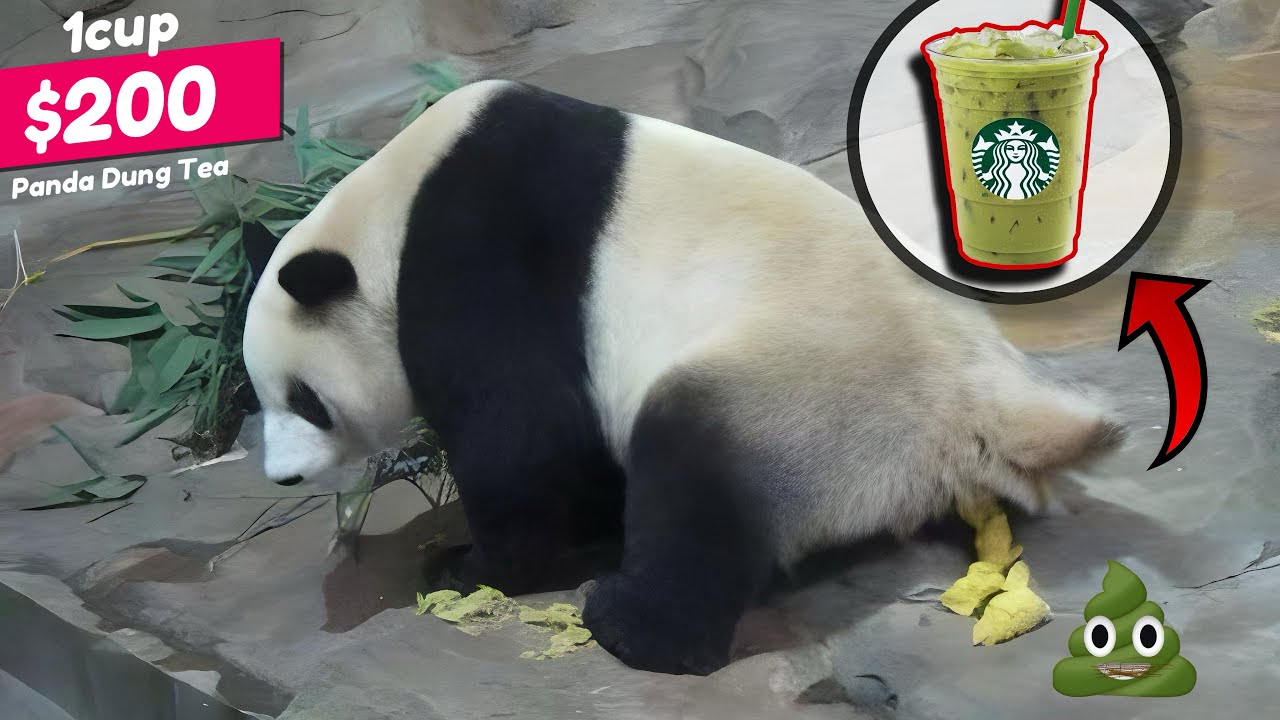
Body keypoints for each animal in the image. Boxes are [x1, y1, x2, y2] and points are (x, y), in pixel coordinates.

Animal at [242, 79, 1121, 675]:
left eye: (304, 400)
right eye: (263, 398)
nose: (282, 479)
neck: (386, 208)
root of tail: (980, 399)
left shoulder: (481, 248)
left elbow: (523, 432)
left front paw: (468, 567)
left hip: (812, 385)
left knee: (695, 470)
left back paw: (630, 622)